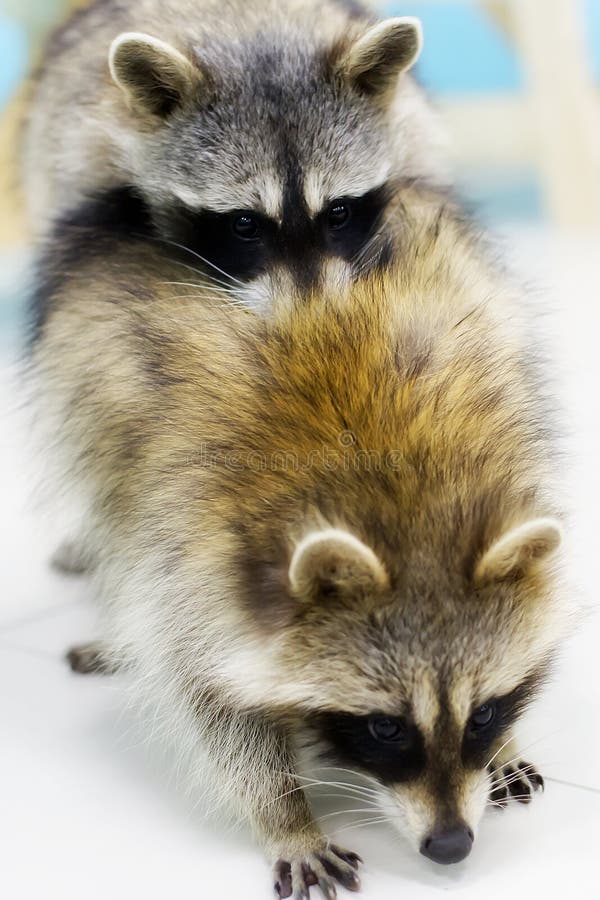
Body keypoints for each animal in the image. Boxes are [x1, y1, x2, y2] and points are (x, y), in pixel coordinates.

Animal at [30, 183, 568, 897]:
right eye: (385, 727)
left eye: (482, 713)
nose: (451, 846)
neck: (397, 494)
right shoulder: (196, 554)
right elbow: (215, 704)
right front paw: (286, 814)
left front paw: (504, 744)